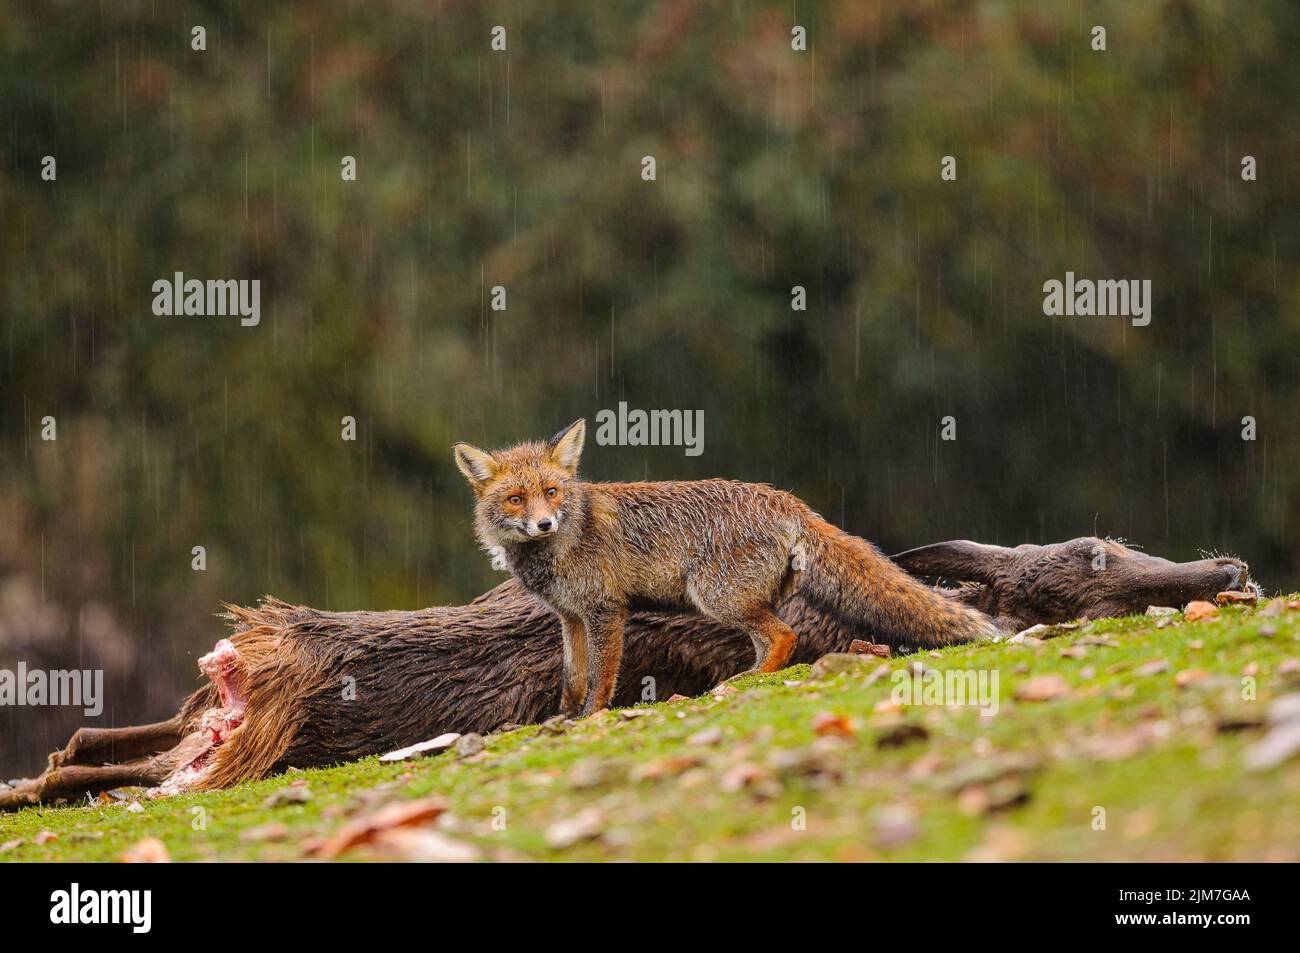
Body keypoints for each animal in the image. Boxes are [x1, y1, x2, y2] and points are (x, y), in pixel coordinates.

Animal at [453, 419, 998, 717]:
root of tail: (787, 500)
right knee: (771, 638)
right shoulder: (570, 617)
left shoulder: (606, 611)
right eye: (516, 499)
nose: (544, 523)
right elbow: (572, 675)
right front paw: (562, 719)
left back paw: (747, 682)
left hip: (715, 598)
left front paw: (591, 717)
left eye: (552, 492)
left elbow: (600, 678)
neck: (562, 544)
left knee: (783, 635)